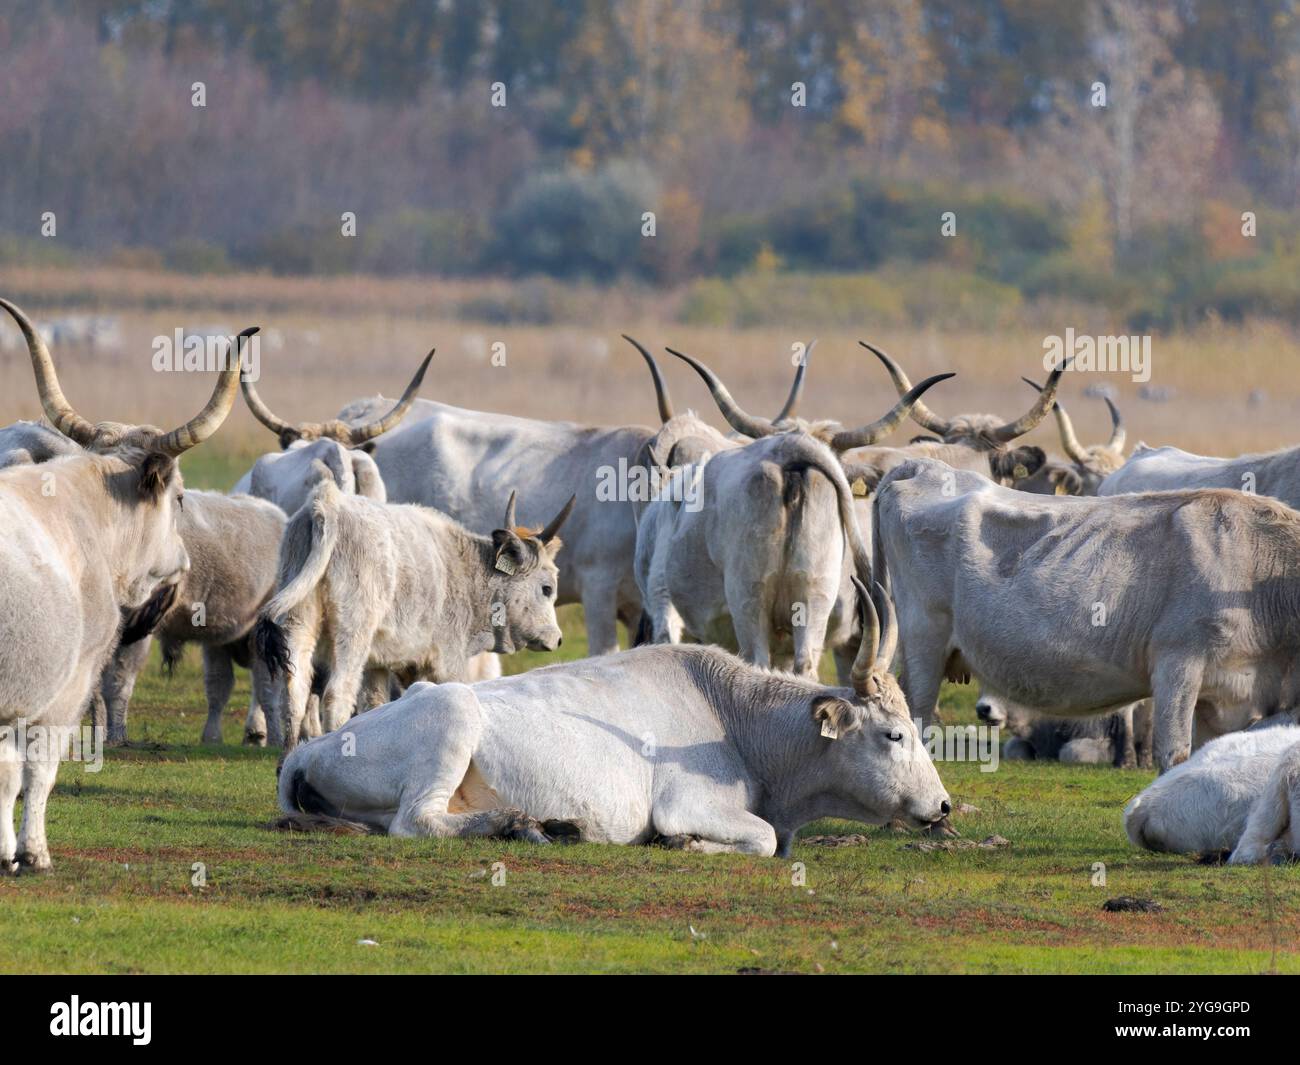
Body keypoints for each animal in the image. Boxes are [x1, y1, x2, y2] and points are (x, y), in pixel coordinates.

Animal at [255, 477, 576, 750]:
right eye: (547, 588)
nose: (558, 639)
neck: (465, 568)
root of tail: (327, 504)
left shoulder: (381, 665)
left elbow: (376, 705)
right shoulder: (447, 662)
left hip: (298, 623)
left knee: (293, 696)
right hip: (351, 634)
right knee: (337, 696)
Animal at [273, 578, 952, 856]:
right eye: (893, 734)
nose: (943, 806)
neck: (734, 717)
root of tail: (311, 747)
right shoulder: (690, 803)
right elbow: (759, 839)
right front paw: (685, 845)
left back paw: (551, 826)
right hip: (451, 713)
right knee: (415, 824)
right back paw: (519, 824)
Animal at [873, 457, 1300, 772]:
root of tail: (923, 466)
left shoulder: (1224, 691)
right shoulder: (1179, 663)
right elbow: (1175, 753)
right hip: (924, 640)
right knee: (915, 716)